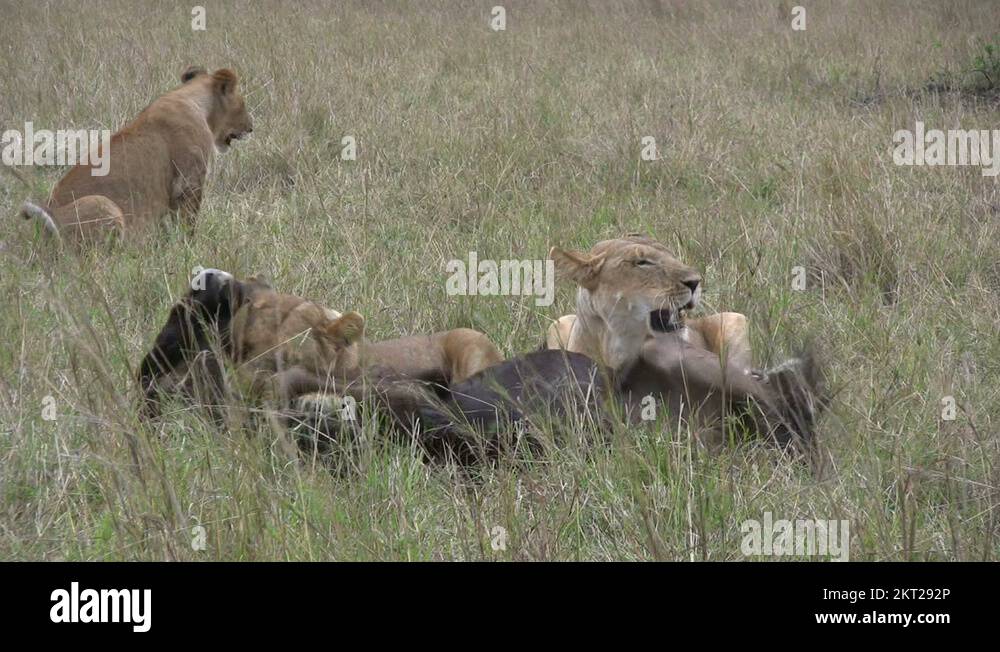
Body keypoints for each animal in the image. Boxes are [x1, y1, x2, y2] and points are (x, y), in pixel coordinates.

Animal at [19, 66, 252, 243]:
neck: (192, 100)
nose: (251, 128)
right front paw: (190, 246)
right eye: (243, 103)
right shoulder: (189, 182)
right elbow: (189, 223)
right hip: (103, 204)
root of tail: (49, 221)